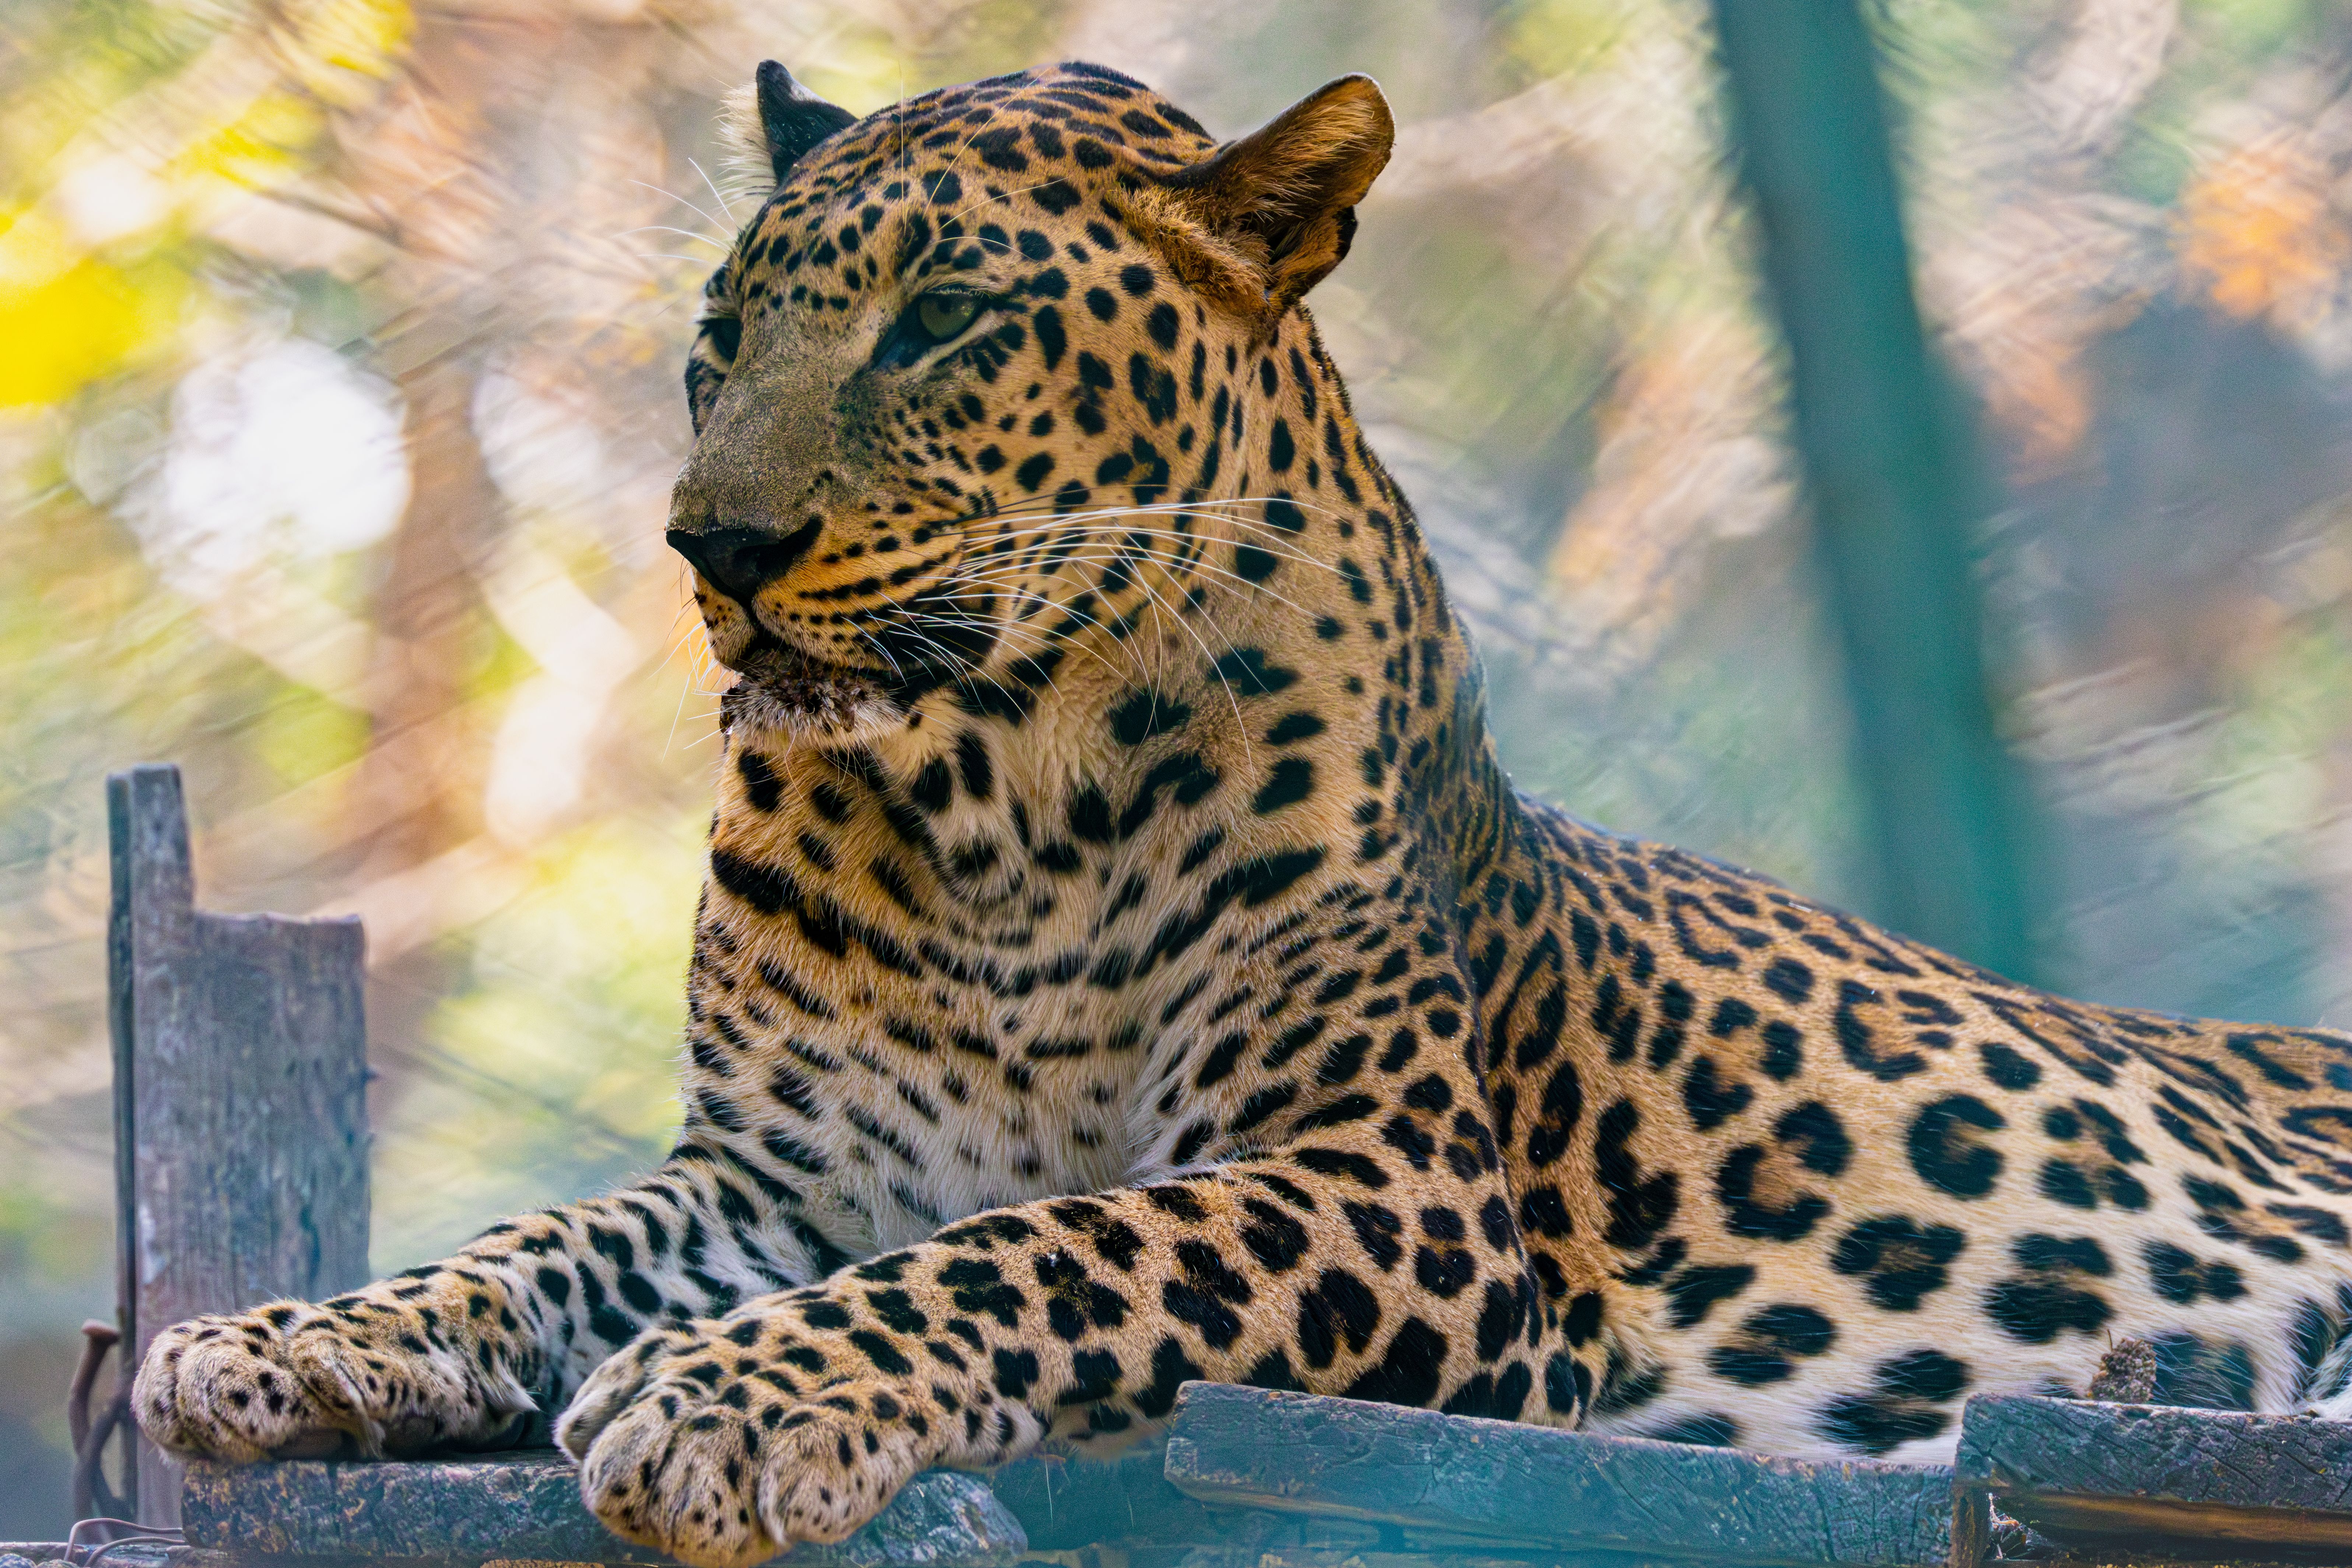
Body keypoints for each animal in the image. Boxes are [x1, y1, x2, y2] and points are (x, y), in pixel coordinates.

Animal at [137, 59, 2352, 1568]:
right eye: (717, 343)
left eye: (940, 322)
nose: (718, 550)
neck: (990, 800)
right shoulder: (780, 1187)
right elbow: (529, 1247)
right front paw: (286, 1340)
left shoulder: (1399, 1186)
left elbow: (1056, 1241)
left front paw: (727, 1399)